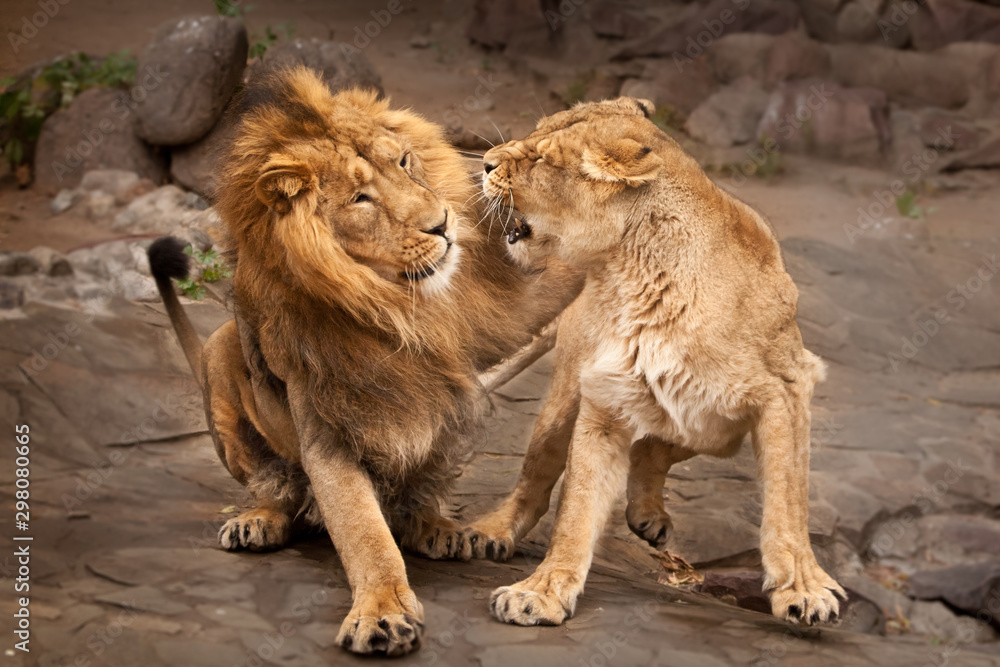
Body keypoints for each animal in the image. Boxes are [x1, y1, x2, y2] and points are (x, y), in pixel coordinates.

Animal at [147, 66, 579, 656]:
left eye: (404, 161)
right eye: (360, 198)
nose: (444, 225)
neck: (392, 302)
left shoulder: (499, 317)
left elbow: (563, 273)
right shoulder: (327, 423)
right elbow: (362, 529)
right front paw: (381, 611)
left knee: (419, 494)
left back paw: (441, 529)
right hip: (220, 357)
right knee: (276, 487)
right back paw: (257, 521)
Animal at [467, 97, 846, 627]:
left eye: (542, 159)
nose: (484, 163)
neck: (633, 272)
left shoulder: (788, 390)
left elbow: (788, 501)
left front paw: (804, 589)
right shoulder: (604, 401)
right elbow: (575, 507)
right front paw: (541, 592)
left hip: (717, 428)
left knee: (657, 446)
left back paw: (648, 515)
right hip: (570, 398)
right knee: (539, 473)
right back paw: (492, 531)